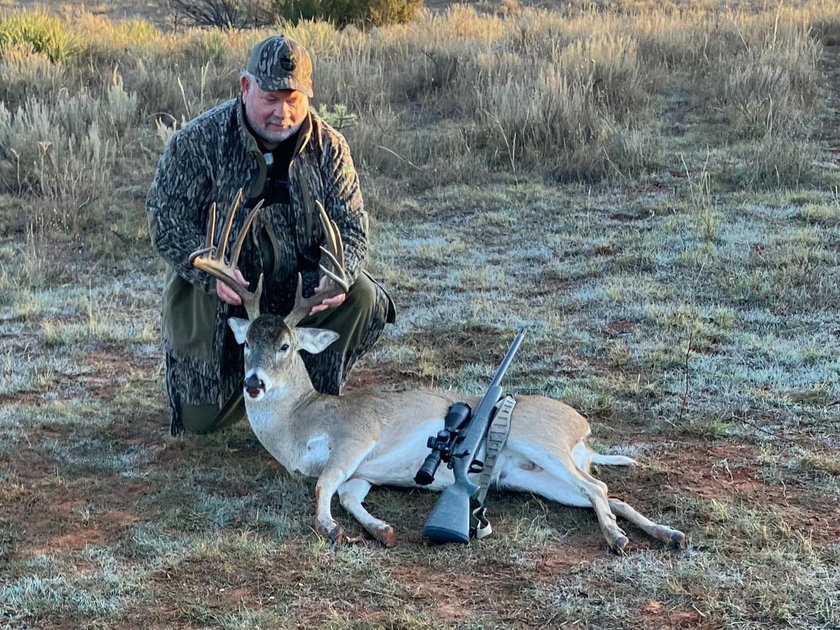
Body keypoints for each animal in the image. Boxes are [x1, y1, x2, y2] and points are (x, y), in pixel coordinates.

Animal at [189, 191, 687, 554]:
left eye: (286, 346)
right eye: (246, 345)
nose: (254, 384)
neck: (298, 424)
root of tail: (583, 431)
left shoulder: (357, 434)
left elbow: (325, 486)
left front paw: (329, 528)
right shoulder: (363, 473)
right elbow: (347, 495)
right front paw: (381, 529)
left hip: (541, 441)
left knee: (598, 485)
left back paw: (619, 538)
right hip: (528, 475)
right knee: (604, 491)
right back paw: (669, 534)